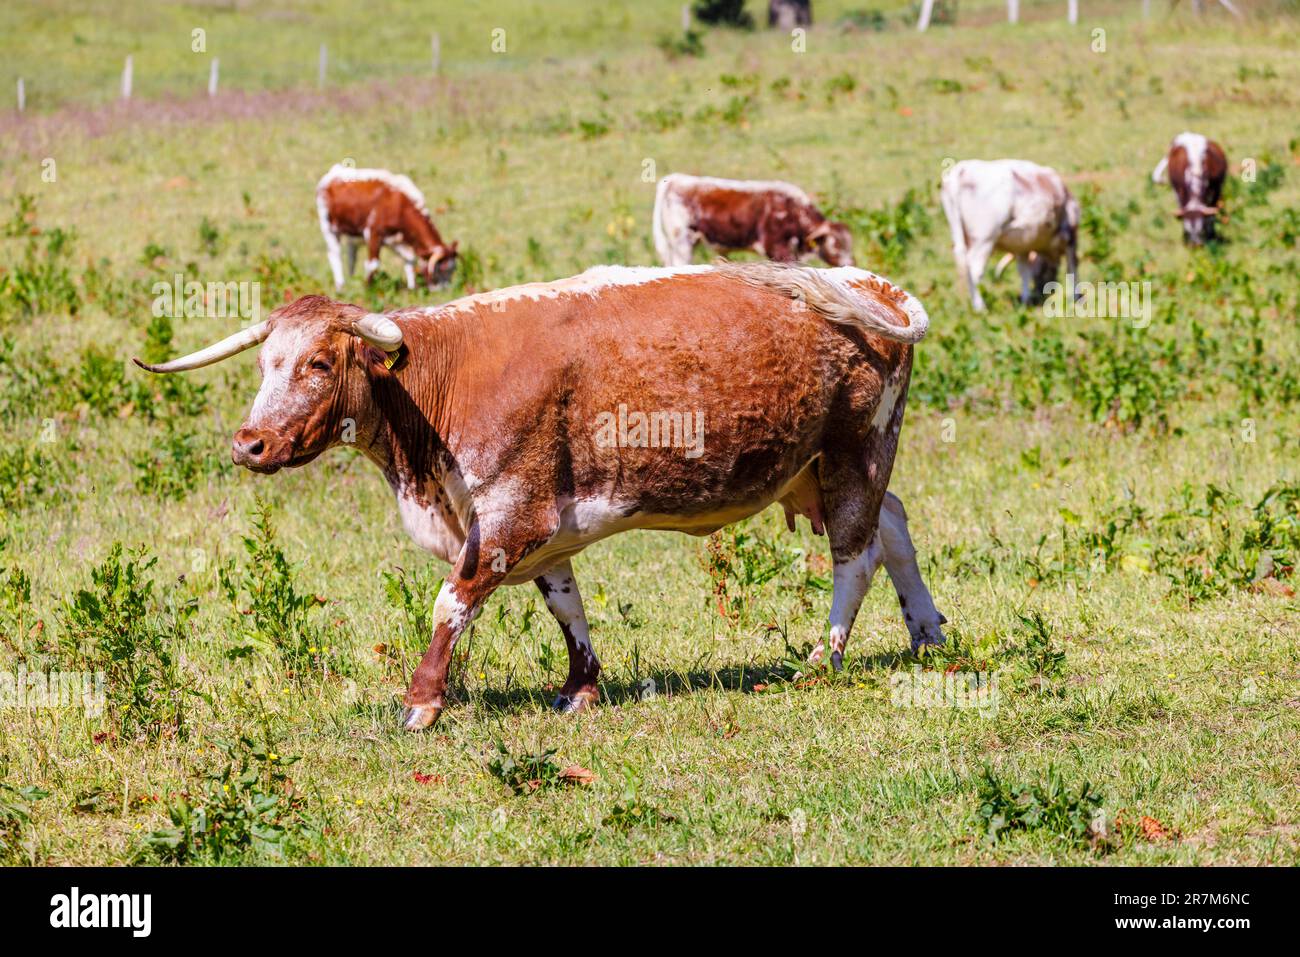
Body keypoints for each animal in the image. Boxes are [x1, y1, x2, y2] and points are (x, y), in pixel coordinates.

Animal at [134, 262, 946, 732]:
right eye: (266, 362)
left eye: (320, 362)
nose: (249, 444)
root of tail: (871, 284)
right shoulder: (541, 524)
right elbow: (565, 604)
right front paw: (581, 686)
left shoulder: (507, 517)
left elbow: (451, 602)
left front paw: (420, 702)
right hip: (813, 467)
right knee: (894, 525)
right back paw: (927, 634)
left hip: (855, 450)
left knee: (856, 553)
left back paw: (824, 654)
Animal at [316, 164, 458, 292]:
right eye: (442, 268)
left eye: (453, 269)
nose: (444, 290)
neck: (400, 205)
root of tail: (334, 172)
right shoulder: (373, 233)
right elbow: (373, 264)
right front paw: (368, 289)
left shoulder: (396, 239)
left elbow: (410, 260)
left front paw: (412, 288)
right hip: (328, 227)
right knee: (335, 254)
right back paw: (340, 286)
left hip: (353, 233)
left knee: (352, 256)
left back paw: (352, 280)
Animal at [653, 174, 854, 268]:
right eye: (836, 246)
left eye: (850, 244)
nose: (851, 264)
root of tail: (676, 178)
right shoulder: (777, 248)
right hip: (682, 241)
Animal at [939, 159, 1080, 312]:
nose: (1042, 291)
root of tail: (961, 171)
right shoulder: (1070, 236)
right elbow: (1072, 268)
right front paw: (1076, 298)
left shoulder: (1023, 246)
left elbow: (1024, 272)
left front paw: (1025, 301)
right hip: (984, 239)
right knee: (975, 269)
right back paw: (980, 307)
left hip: (960, 233)